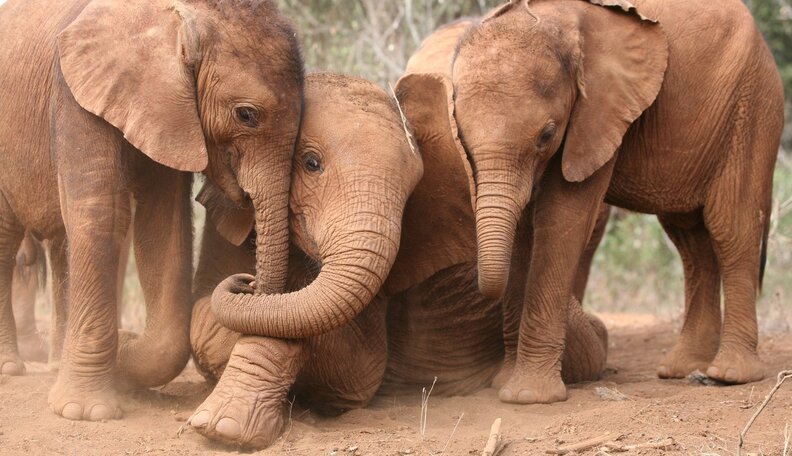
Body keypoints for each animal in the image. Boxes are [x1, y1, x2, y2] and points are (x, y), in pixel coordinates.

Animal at [0, 0, 303, 422]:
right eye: (246, 114)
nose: (247, 281)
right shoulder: (75, 95)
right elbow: (103, 215)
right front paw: (87, 411)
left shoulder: (169, 115)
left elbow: (163, 222)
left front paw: (121, 359)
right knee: (7, 239)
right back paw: (11, 368)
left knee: (60, 245)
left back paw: (57, 363)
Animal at [186, 72, 609, 449]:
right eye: (310, 163)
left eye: (412, 189)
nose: (248, 282)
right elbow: (202, 317)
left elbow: (357, 369)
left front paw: (223, 427)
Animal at [424, 0, 783, 404]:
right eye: (463, 140)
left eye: (547, 135)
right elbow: (522, 230)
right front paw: (504, 385)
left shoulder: (597, 115)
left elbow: (560, 220)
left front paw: (529, 396)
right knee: (690, 239)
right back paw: (682, 369)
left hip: (751, 105)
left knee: (730, 227)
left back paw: (729, 375)